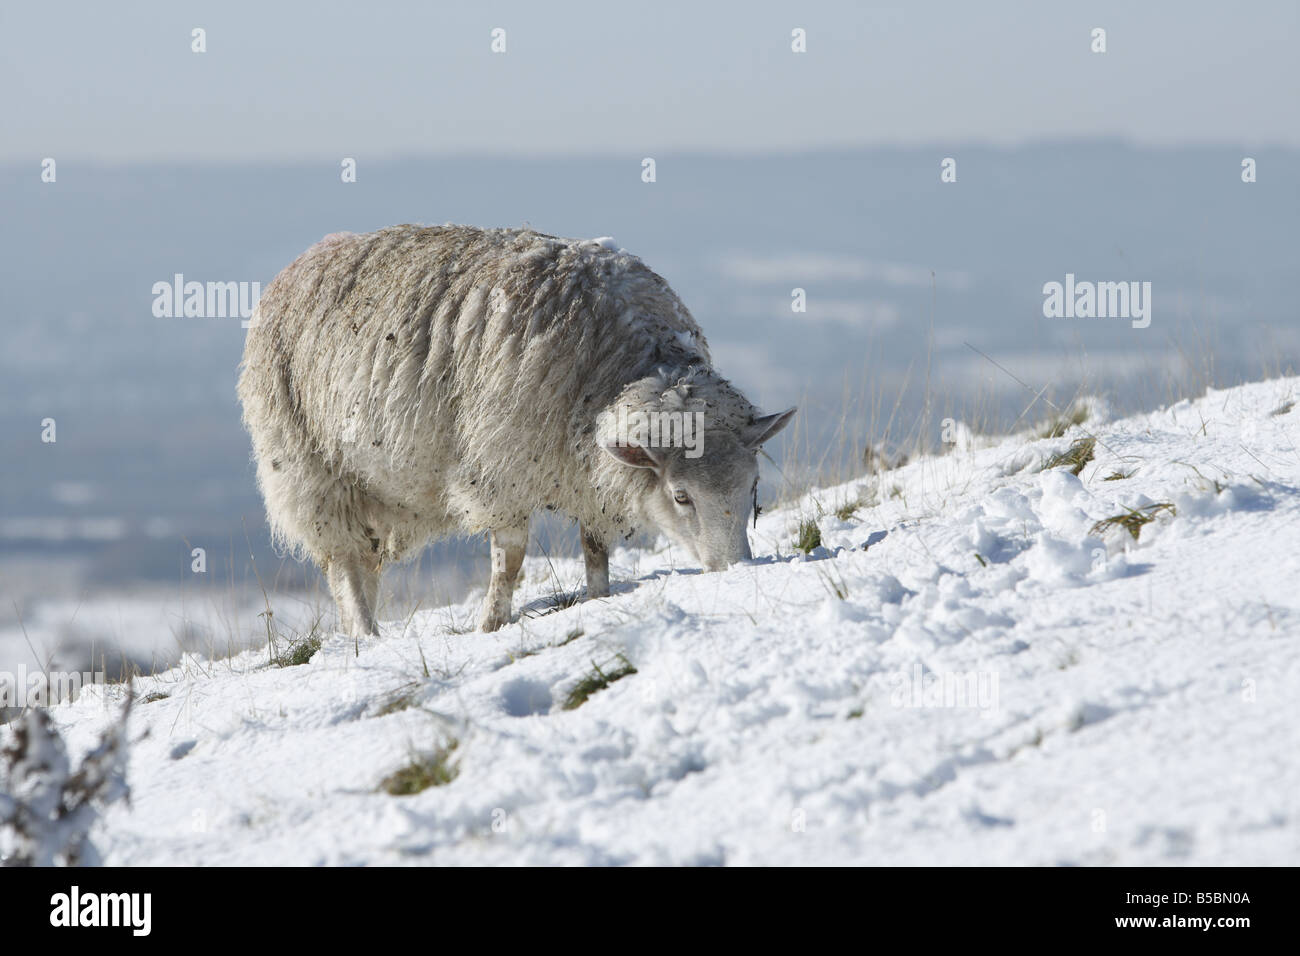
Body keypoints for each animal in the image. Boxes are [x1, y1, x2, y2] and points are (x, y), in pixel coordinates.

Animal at [237, 224, 795, 635]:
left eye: (753, 486)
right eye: (681, 496)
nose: (735, 571)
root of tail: (307, 258)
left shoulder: (589, 471)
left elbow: (596, 549)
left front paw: (599, 600)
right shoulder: (498, 471)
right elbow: (510, 561)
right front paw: (492, 624)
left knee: (357, 565)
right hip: (309, 470)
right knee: (344, 565)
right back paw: (368, 639)